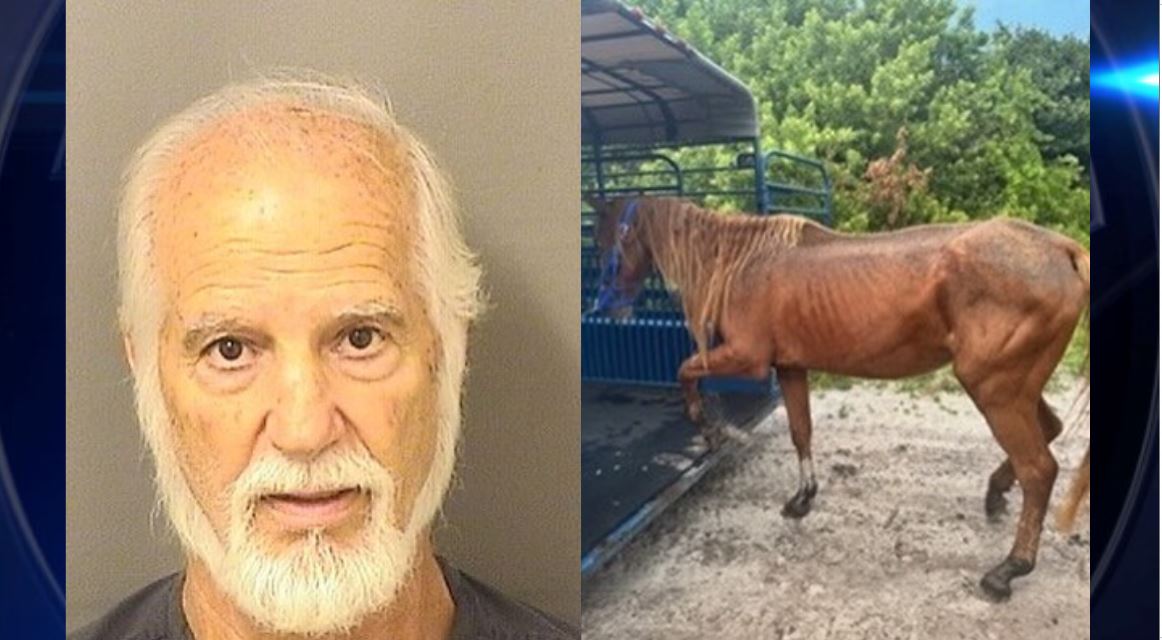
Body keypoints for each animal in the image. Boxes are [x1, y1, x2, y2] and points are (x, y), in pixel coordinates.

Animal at [587, 195, 1090, 602]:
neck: (744, 263)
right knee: (1049, 432)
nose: (609, 308)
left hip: (994, 389)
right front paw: (802, 498)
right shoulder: (790, 368)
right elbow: (800, 430)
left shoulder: (747, 359)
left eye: (610, 238)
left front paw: (708, 426)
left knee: (1039, 468)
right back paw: (996, 493)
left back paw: (1008, 569)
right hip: (1016, 387)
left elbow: (685, 371)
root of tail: (1064, 251)